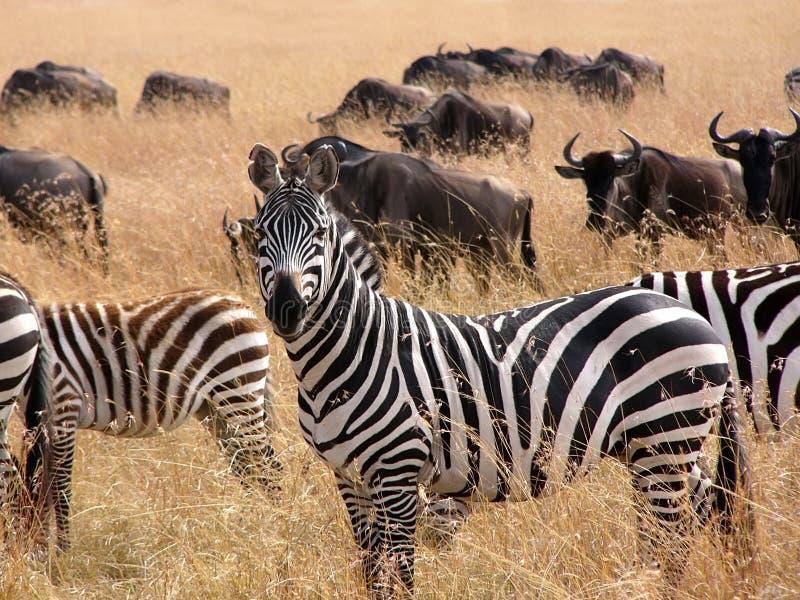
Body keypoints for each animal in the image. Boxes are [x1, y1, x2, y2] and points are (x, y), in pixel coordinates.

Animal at [24, 288, 280, 550]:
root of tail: (240, 303)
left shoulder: (64, 405)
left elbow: (57, 485)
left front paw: (61, 553)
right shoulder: (40, 422)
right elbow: (39, 485)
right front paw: (39, 549)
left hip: (237, 390)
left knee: (267, 464)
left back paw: (272, 525)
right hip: (214, 408)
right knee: (247, 464)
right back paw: (250, 523)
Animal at [247, 143, 750, 596]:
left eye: (319, 234)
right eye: (260, 234)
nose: (288, 309)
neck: (350, 355)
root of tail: (692, 314)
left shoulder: (398, 473)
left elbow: (402, 576)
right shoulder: (349, 477)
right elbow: (373, 573)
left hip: (665, 439)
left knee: (670, 535)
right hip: (662, 446)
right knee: (700, 513)